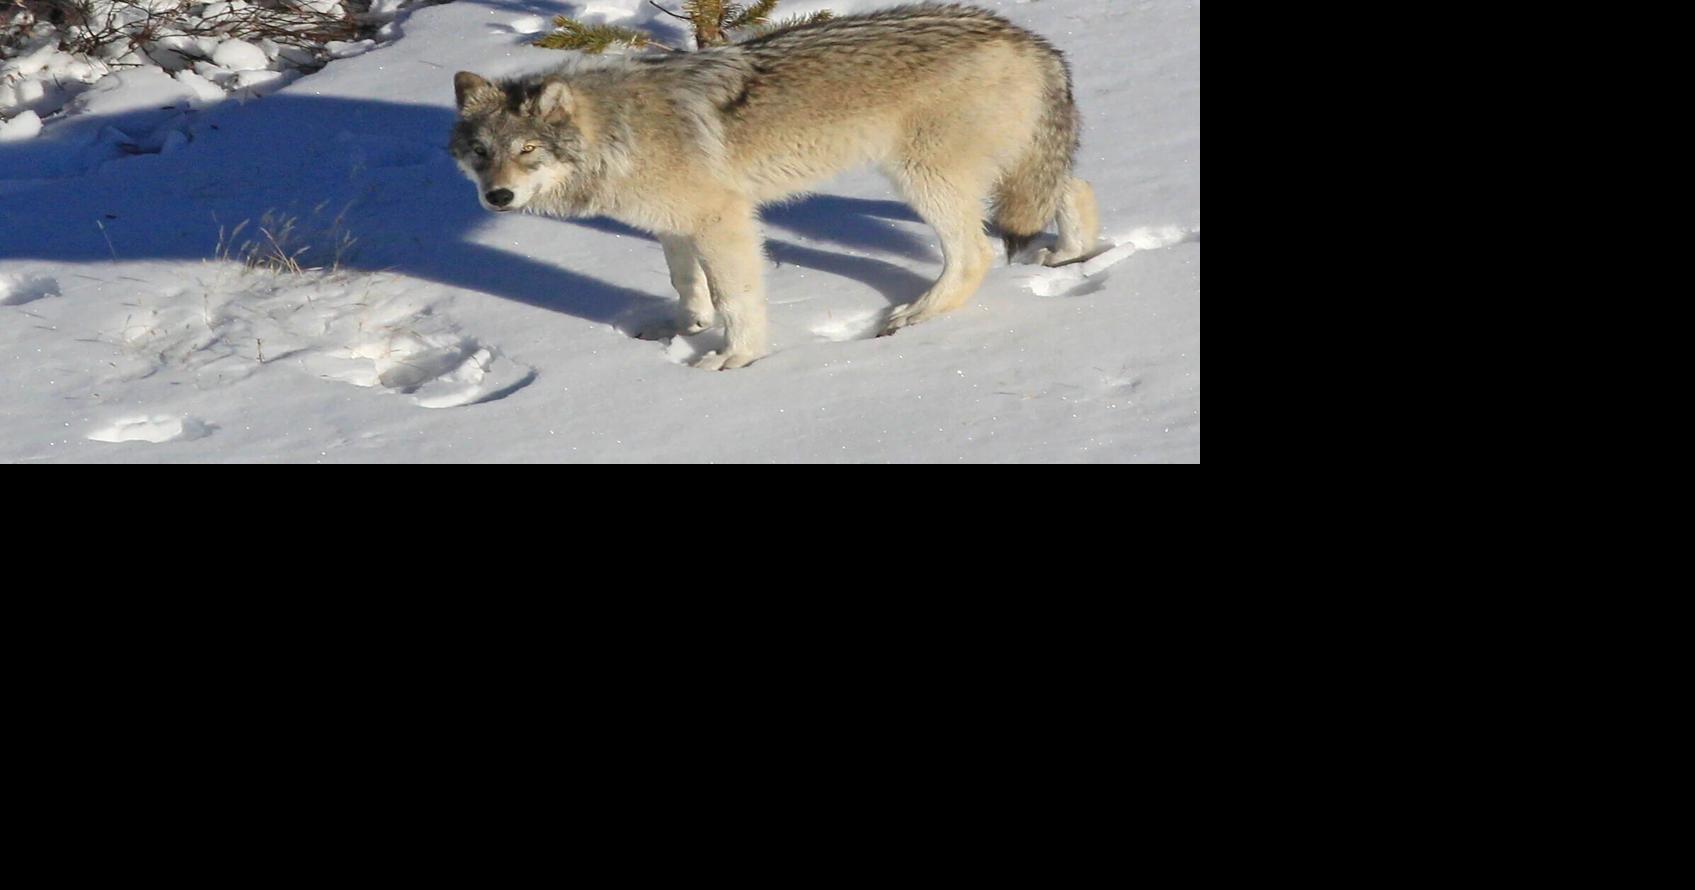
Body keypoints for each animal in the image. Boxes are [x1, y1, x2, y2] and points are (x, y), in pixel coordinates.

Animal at [449, 2, 1099, 370]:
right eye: (482, 154)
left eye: (528, 151)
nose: (497, 198)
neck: (620, 132)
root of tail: (1027, 37)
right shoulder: (675, 226)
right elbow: (687, 284)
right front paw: (684, 330)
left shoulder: (723, 220)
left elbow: (735, 299)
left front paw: (736, 358)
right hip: (1004, 169)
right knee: (1075, 189)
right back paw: (1073, 256)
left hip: (923, 179)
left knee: (975, 255)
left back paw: (913, 317)